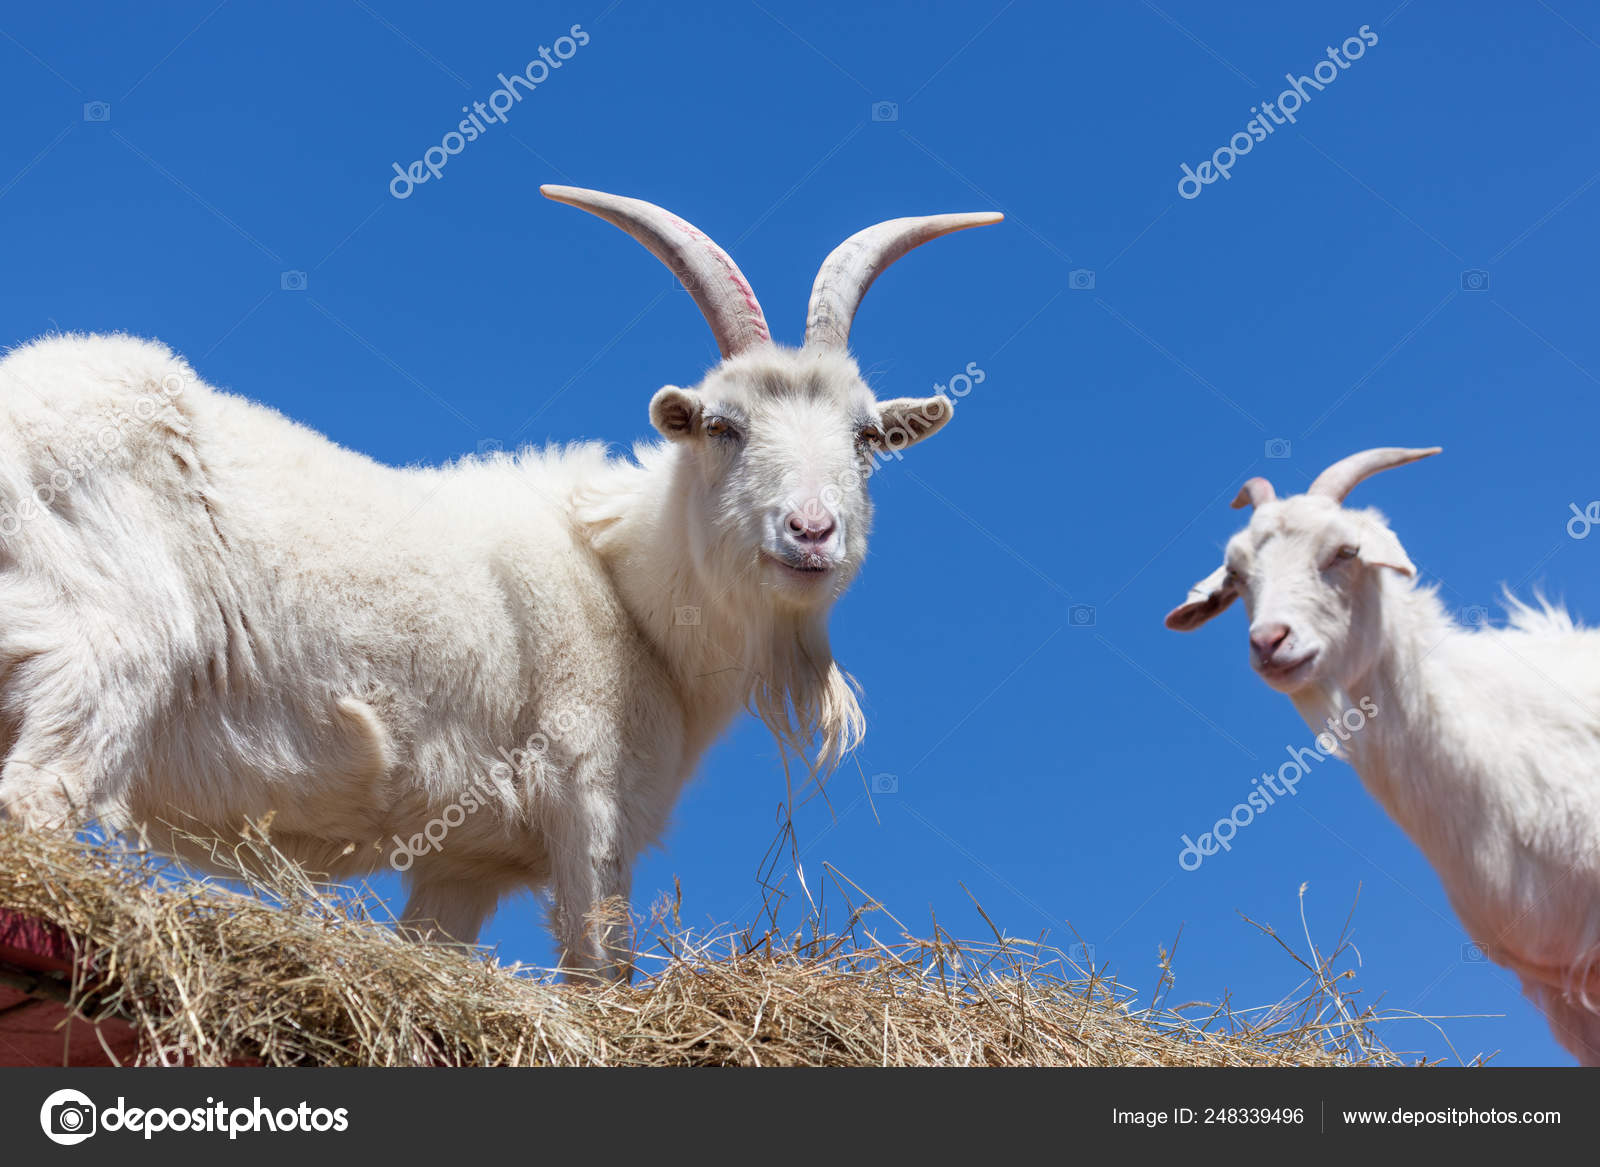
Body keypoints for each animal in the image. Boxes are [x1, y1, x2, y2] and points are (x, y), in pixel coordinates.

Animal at [0, 185, 1001, 978]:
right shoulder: (587, 793)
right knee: (36, 801)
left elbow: (436, 948)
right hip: (105, 653)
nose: (811, 532)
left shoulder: (464, 861)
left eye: (868, 437)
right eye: (723, 425)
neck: (625, 583)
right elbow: (603, 971)